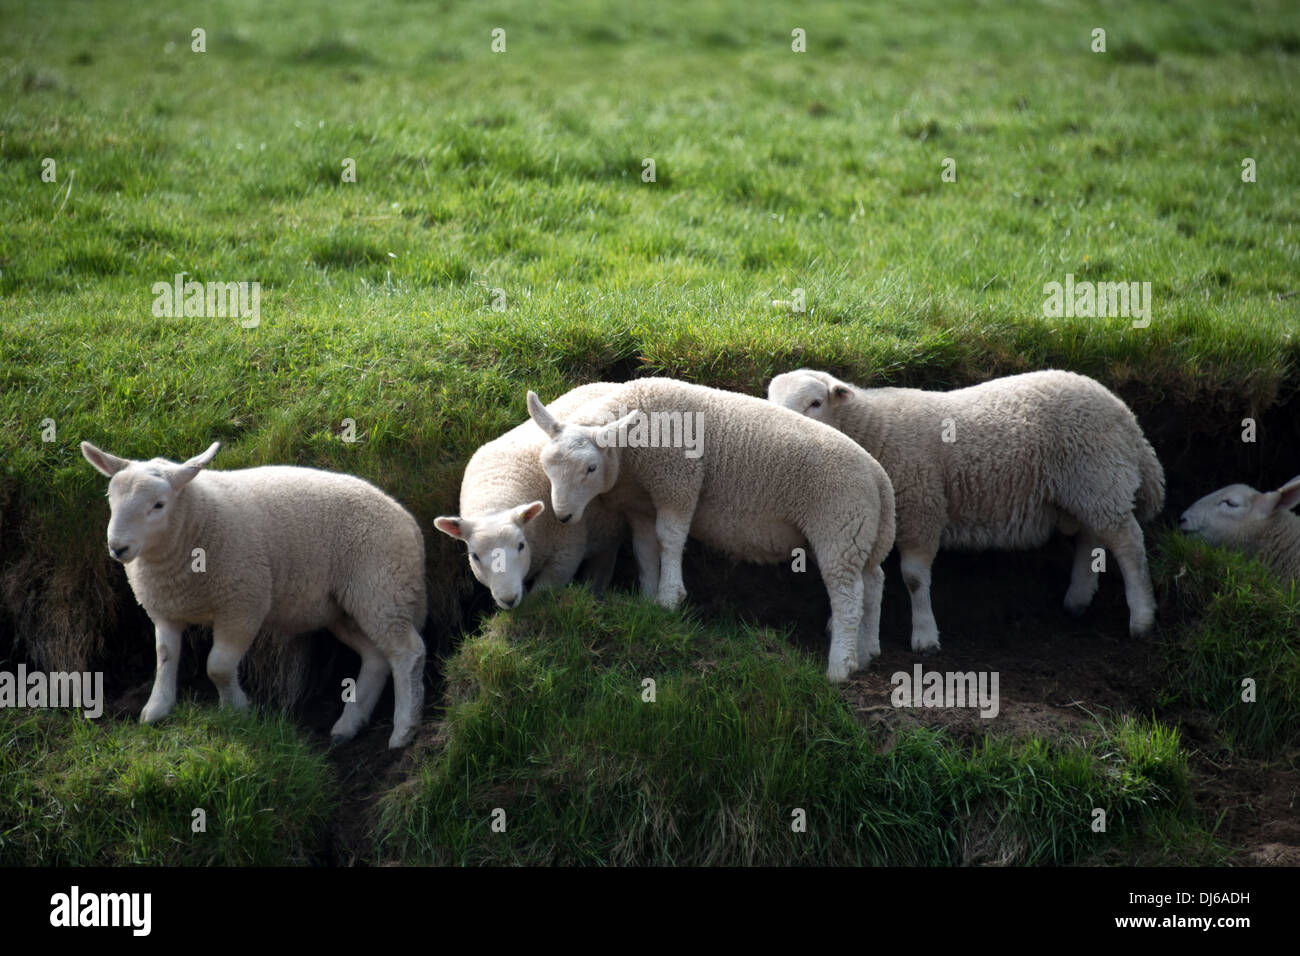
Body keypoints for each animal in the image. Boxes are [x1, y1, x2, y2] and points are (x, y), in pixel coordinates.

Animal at [80, 441, 426, 749]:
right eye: (110, 498)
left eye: (158, 505)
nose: (117, 547)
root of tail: (409, 521)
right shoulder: (164, 609)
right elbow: (165, 656)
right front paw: (157, 708)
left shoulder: (243, 604)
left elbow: (218, 666)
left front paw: (235, 710)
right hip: (345, 608)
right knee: (376, 658)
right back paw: (349, 724)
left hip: (381, 589)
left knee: (407, 653)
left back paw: (403, 730)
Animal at [434, 383, 625, 608]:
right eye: (475, 557)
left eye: (520, 545)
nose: (508, 599)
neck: (496, 492)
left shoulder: (565, 555)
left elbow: (540, 595)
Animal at [525, 377, 896, 682]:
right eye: (546, 466)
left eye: (590, 468)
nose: (563, 516)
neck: (631, 453)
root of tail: (879, 478)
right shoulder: (641, 504)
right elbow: (645, 550)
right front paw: (647, 600)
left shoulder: (678, 483)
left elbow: (670, 538)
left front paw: (669, 598)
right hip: (859, 534)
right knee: (873, 582)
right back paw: (866, 652)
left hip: (838, 526)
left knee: (848, 597)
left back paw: (839, 668)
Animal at [767, 368, 1165, 653]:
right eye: (770, 397)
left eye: (816, 402)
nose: (782, 428)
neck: (874, 429)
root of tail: (1124, 412)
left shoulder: (922, 508)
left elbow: (914, 578)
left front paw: (925, 636)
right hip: (1085, 488)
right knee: (1090, 537)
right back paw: (1078, 599)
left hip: (1098, 476)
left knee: (1129, 544)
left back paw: (1142, 618)